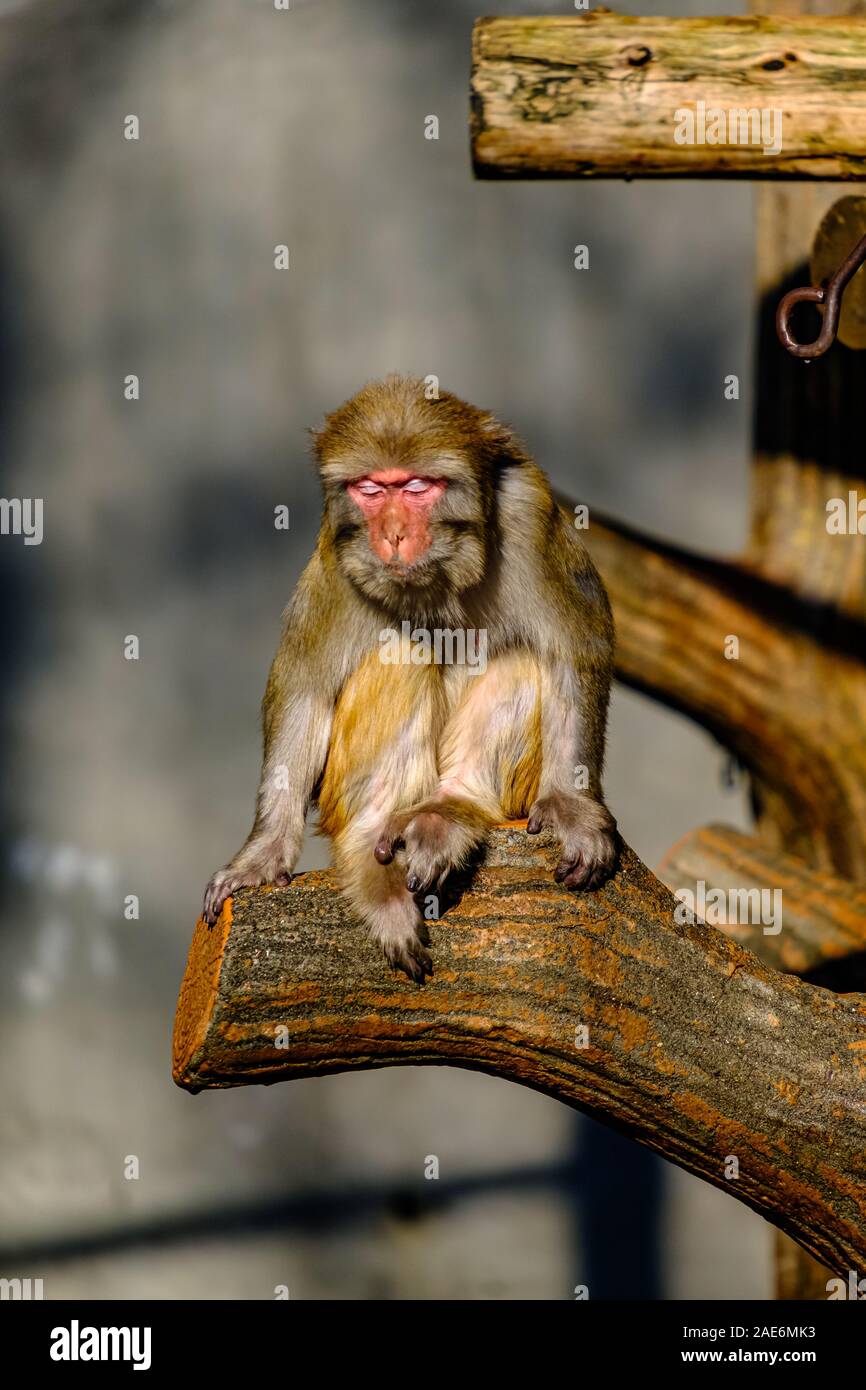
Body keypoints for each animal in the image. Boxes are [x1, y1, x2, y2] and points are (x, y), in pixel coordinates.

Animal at [202, 375, 618, 981]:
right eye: (371, 490)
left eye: (418, 487)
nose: (393, 534)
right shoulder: (336, 545)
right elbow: (305, 687)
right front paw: (263, 852)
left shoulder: (528, 511)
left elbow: (573, 646)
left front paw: (570, 802)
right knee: (402, 652)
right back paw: (373, 860)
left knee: (524, 657)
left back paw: (451, 807)